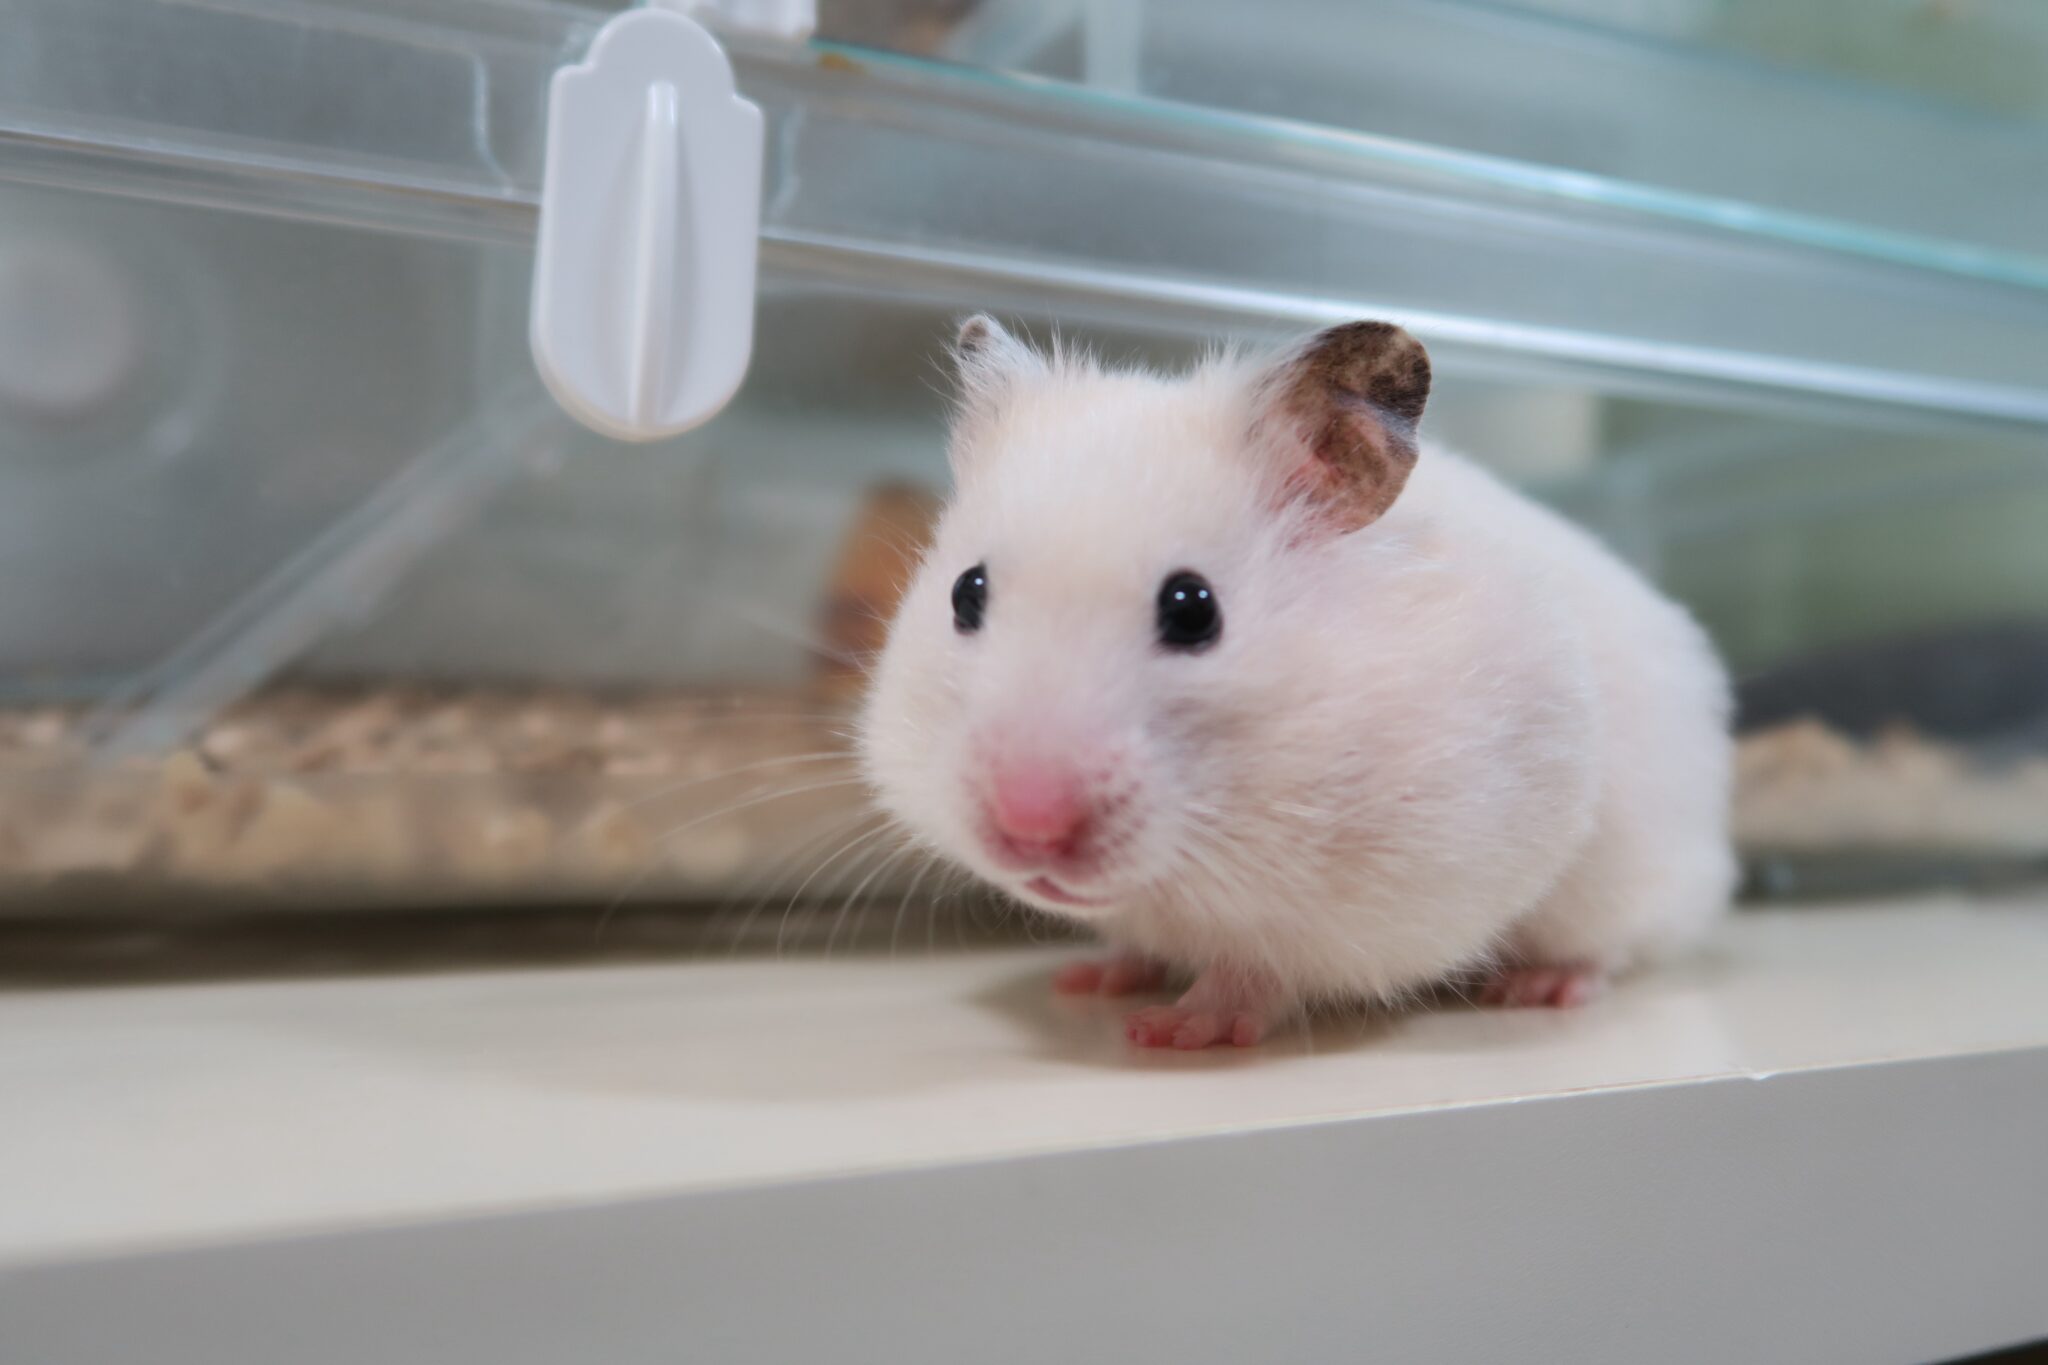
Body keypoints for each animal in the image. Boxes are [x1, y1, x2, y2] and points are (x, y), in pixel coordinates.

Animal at [860, 316, 1735, 1049]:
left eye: (1193, 609)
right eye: (965, 594)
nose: (1029, 827)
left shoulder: (1382, 903)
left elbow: (1265, 970)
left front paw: (1169, 1031)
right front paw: (1091, 978)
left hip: (1638, 873)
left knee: (1617, 942)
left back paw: (1540, 985)